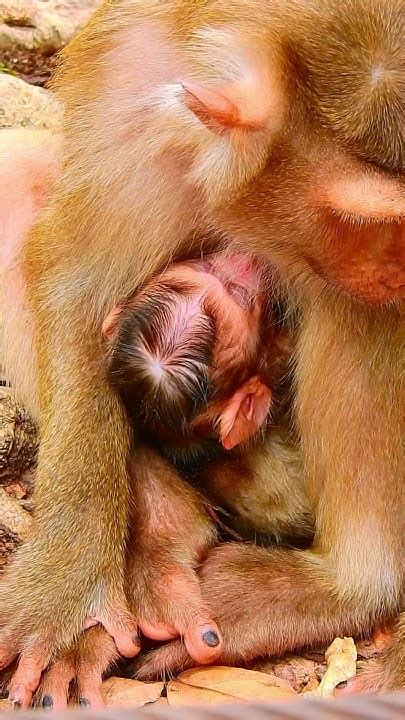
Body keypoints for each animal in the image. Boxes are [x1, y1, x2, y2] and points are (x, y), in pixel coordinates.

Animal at [0, 0, 403, 702]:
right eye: (371, 222)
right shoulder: (130, 80)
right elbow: (77, 276)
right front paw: (69, 585)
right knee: (15, 178)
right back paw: (167, 532)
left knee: (355, 308)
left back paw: (349, 585)